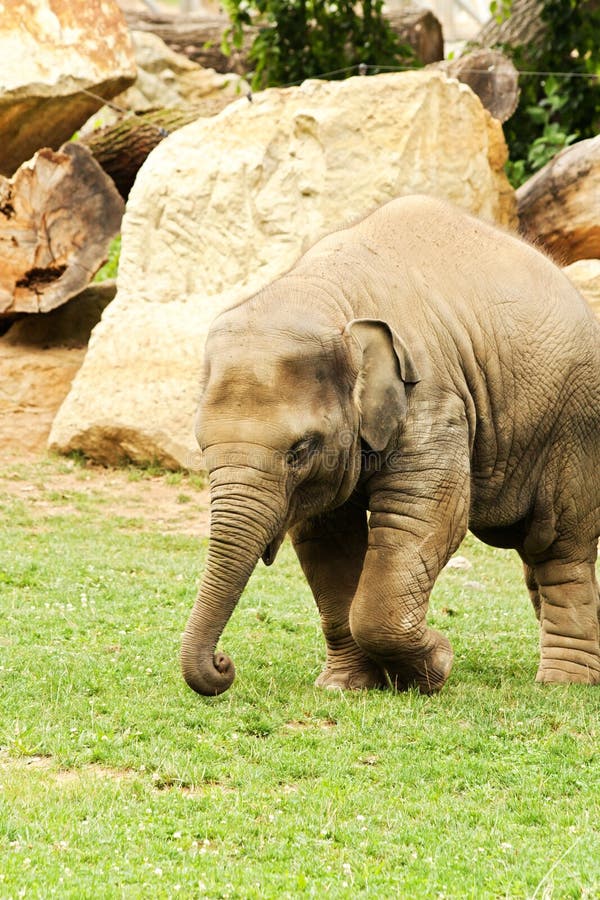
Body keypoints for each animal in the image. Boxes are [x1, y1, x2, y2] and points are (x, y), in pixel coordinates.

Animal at [181, 194, 600, 697]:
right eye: (202, 445)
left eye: (299, 450)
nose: (224, 663)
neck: (327, 295)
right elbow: (327, 539)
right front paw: (344, 686)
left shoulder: (433, 396)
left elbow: (423, 516)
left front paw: (438, 663)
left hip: (574, 426)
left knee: (558, 545)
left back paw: (564, 683)